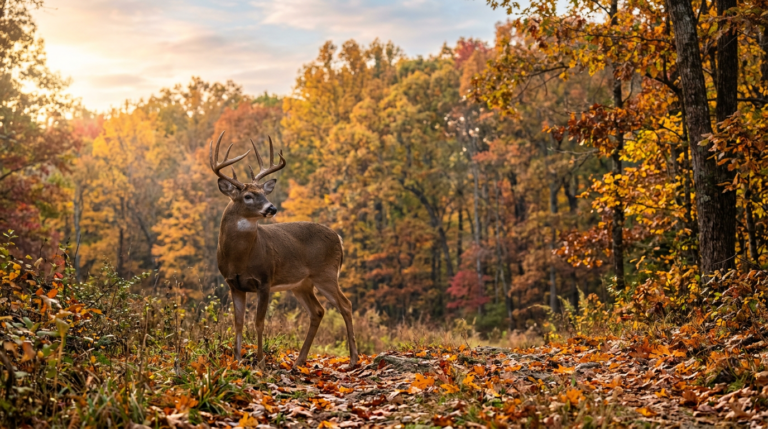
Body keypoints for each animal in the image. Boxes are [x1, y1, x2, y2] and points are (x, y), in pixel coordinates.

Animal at [209, 132, 358, 368]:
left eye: (264, 193)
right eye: (248, 196)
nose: (272, 208)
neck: (240, 258)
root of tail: (339, 238)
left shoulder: (264, 279)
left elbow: (259, 322)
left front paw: (260, 361)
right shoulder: (233, 283)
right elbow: (238, 322)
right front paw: (238, 360)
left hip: (325, 273)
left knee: (346, 304)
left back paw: (352, 359)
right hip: (302, 284)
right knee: (318, 311)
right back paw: (299, 360)